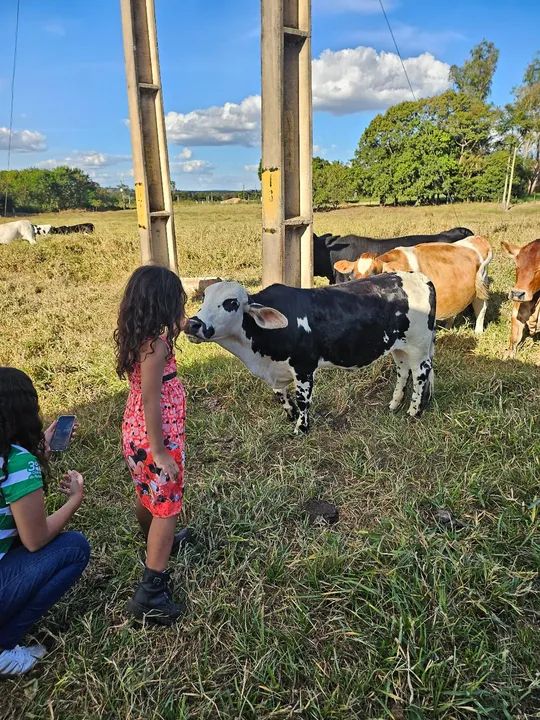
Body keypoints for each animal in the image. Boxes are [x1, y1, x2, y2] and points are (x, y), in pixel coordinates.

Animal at [186, 275, 436, 433]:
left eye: (231, 302)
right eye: (204, 298)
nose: (192, 324)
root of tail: (422, 278)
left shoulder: (304, 366)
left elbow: (303, 399)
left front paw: (302, 428)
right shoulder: (277, 373)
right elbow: (282, 397)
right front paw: (290, 417)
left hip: (419, 347)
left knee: (420, 374)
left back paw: (413, 411)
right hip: (400, 347)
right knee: (403, 371)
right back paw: (394, 404)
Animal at [334, 236, 492, 334]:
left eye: (374, 275)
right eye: (351, 277)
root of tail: (478, 239)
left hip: (481, 287)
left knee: (481, 309)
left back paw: (478, 332)